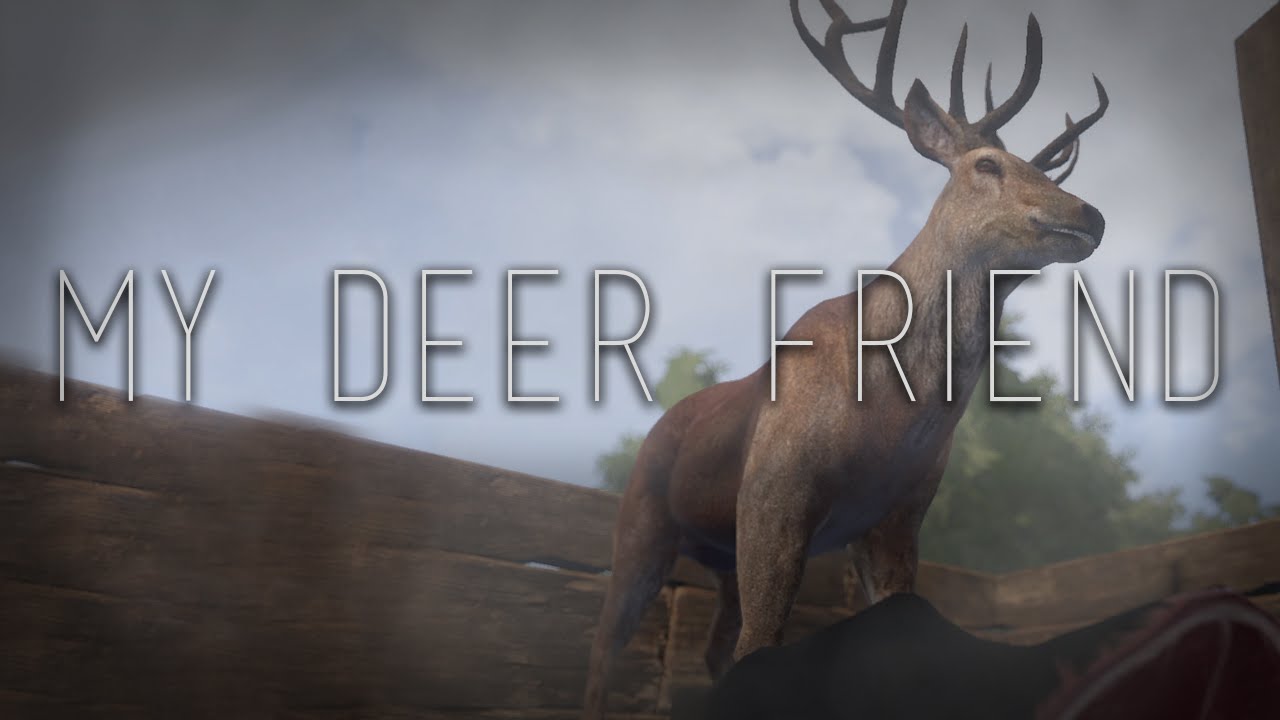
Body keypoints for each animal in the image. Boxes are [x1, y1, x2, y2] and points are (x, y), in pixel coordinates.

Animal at [583, 1, 1108, 717]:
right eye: (987, 164)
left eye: (1047, 169)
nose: (1091, 215)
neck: (894, 409)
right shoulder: (775, 491)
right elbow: (761, 646)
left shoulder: (898, 517)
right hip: (642, 519)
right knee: (607, 647)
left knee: (713, 648)